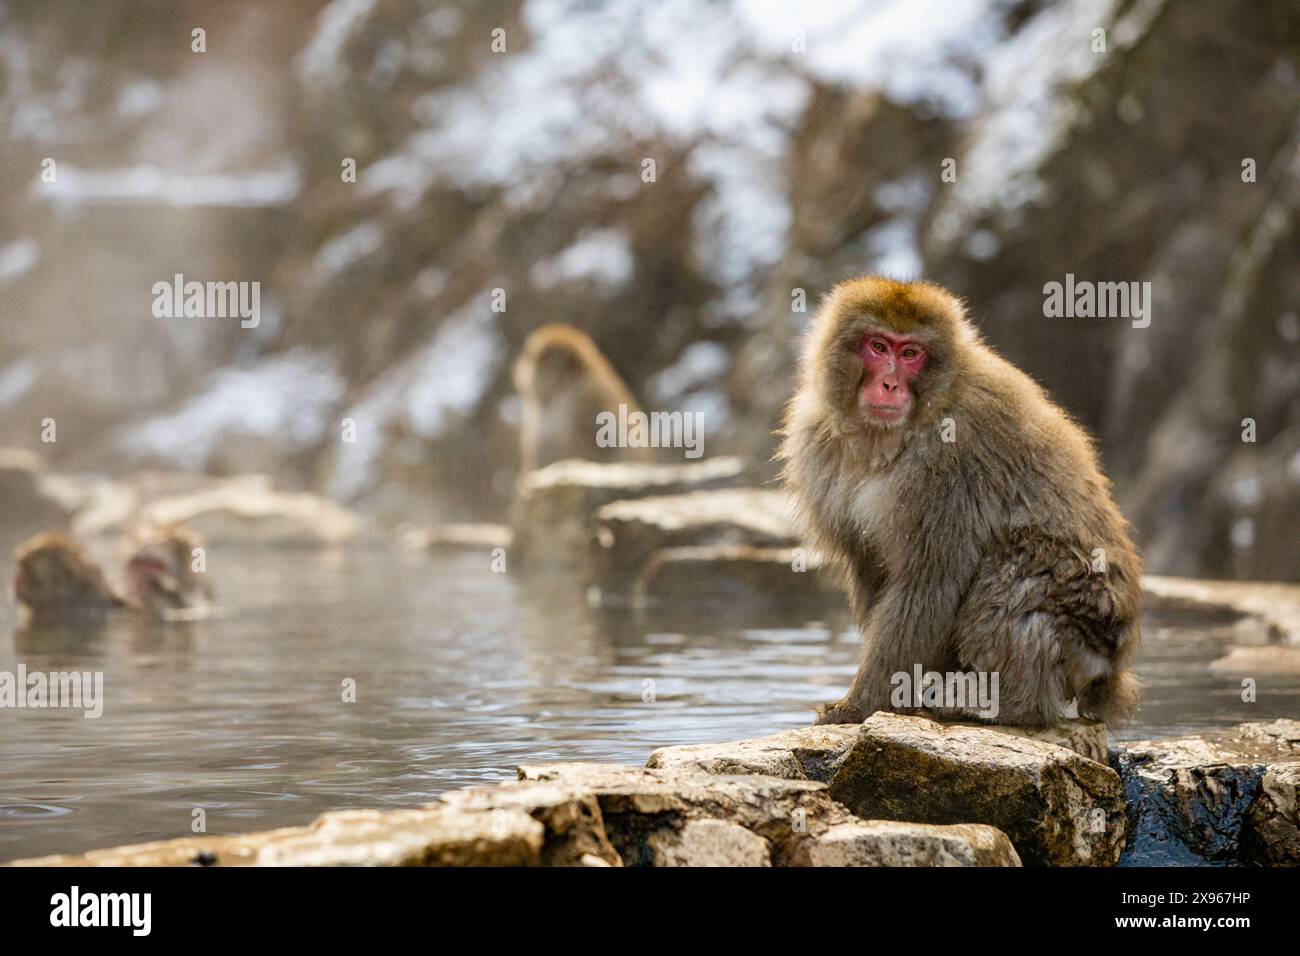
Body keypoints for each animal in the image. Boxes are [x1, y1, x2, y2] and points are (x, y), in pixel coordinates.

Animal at [779, 277, 1141, 727]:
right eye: (878, 346)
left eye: (910, 353)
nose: (889, 385)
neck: (888, 436)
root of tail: (1113, 674)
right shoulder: (816, 441)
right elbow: (872, 569)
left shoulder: (951, 461)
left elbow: (929, 581)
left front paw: (859, 704)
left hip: (1083, 620)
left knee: (1012, 566)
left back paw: (1007, 703)